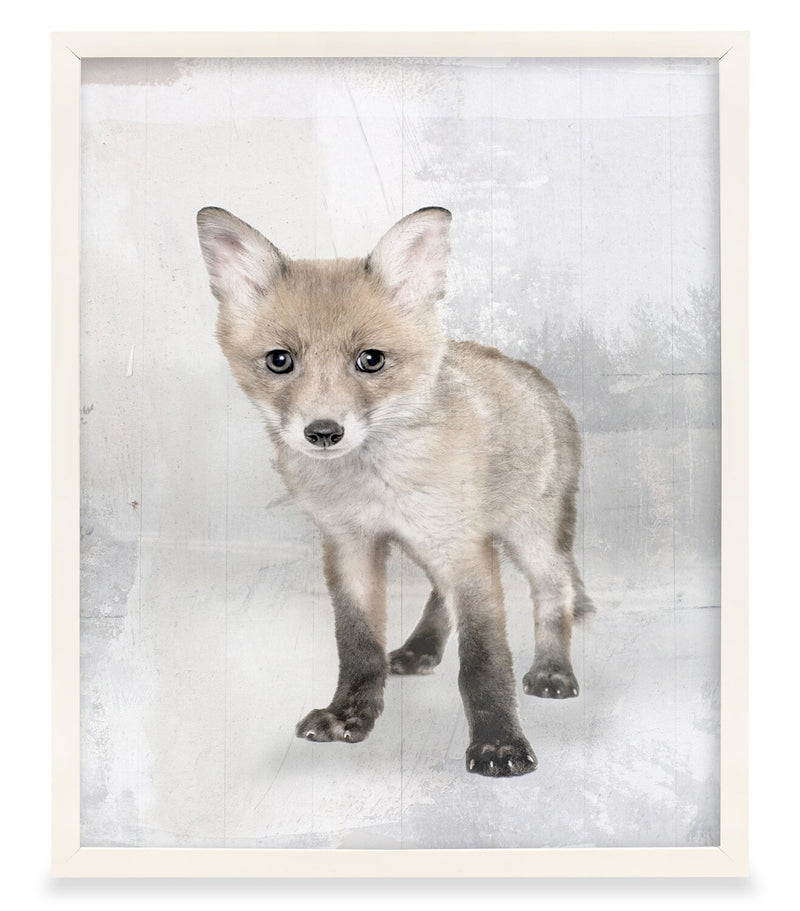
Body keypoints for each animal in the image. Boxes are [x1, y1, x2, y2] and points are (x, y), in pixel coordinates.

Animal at [196, 205, 592, 777]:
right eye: (279, 360)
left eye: (371, 360)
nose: (323, 432)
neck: (373, 485)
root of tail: (535, 375)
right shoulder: (350, 545)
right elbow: (357, 645)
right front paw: (349, 714)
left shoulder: (461, 547)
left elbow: (483, 661)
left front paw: (498, 743)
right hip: (434, 544)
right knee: (439, 596)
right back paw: (421, 648)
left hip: (528, 538)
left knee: (554, 591)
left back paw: (553, 670)